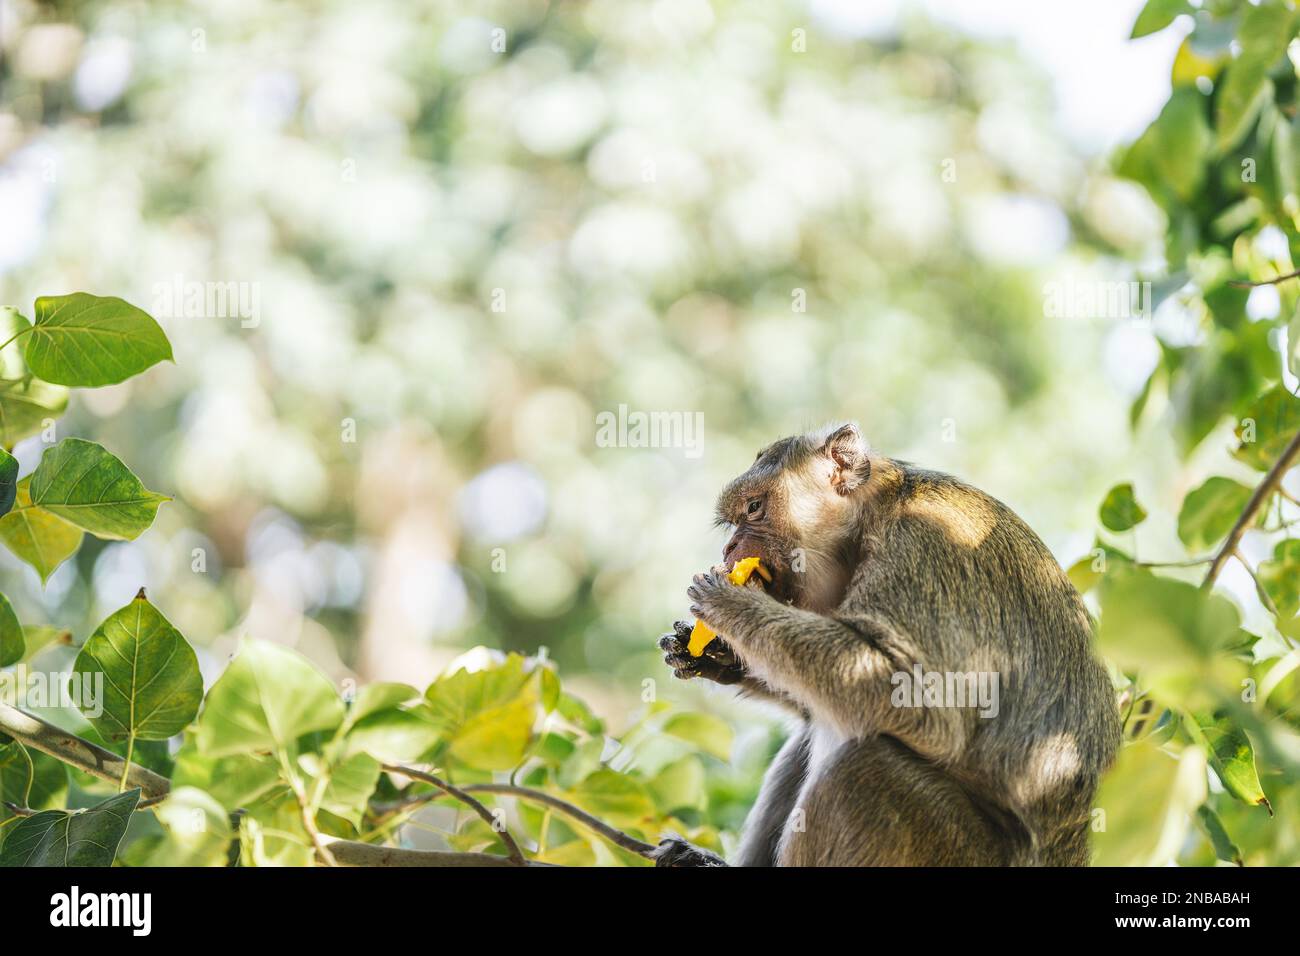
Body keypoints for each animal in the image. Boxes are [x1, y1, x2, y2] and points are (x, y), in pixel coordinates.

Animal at [656, 423, 1120, 866]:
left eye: (754, 509)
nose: (729, 547)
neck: (875, 514)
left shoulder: (922, 550)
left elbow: (920, 705)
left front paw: (732, 604)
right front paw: (716, 655)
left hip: (956, 850)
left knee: (860, 765)